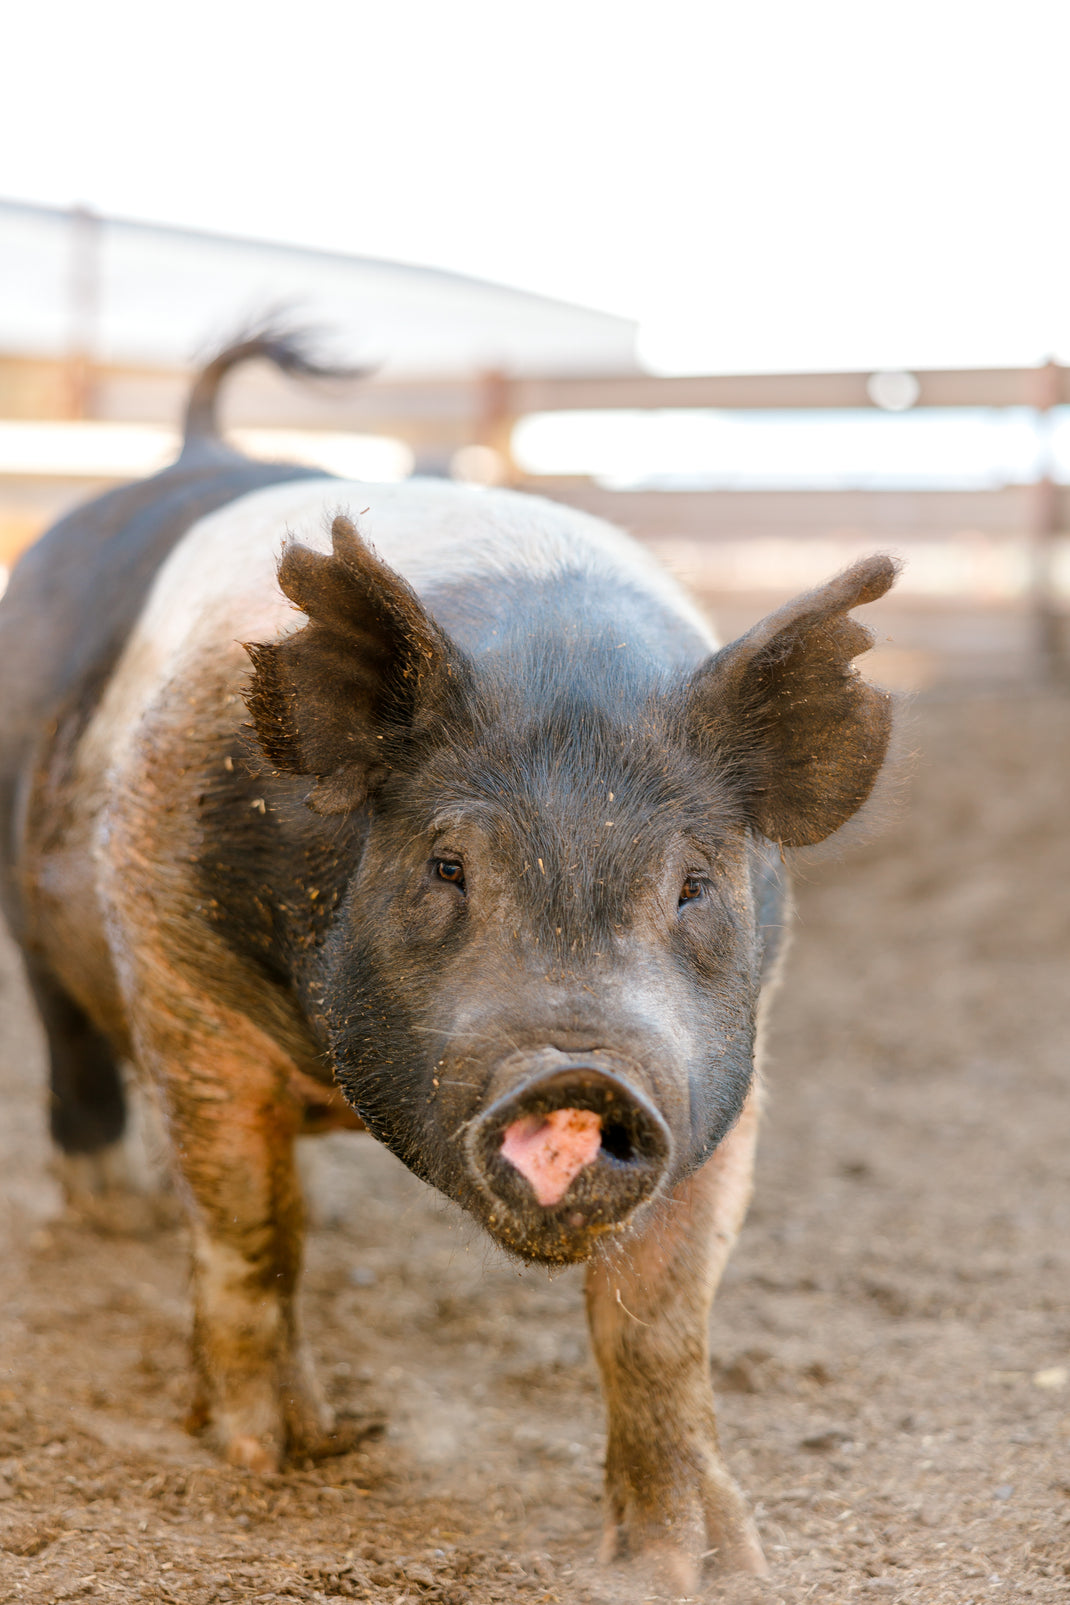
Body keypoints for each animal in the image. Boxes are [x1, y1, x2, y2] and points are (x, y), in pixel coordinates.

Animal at [0, 333, 897, 1592]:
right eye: (444, 865)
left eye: (692, 885)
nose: (579, 1071)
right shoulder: (176, 964)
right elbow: (250, 1228)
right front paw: (274, 1457)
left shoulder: (723, 1077)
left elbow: (659, 1319)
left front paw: (694, 1569)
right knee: (77, 1057)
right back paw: (115, 1218)